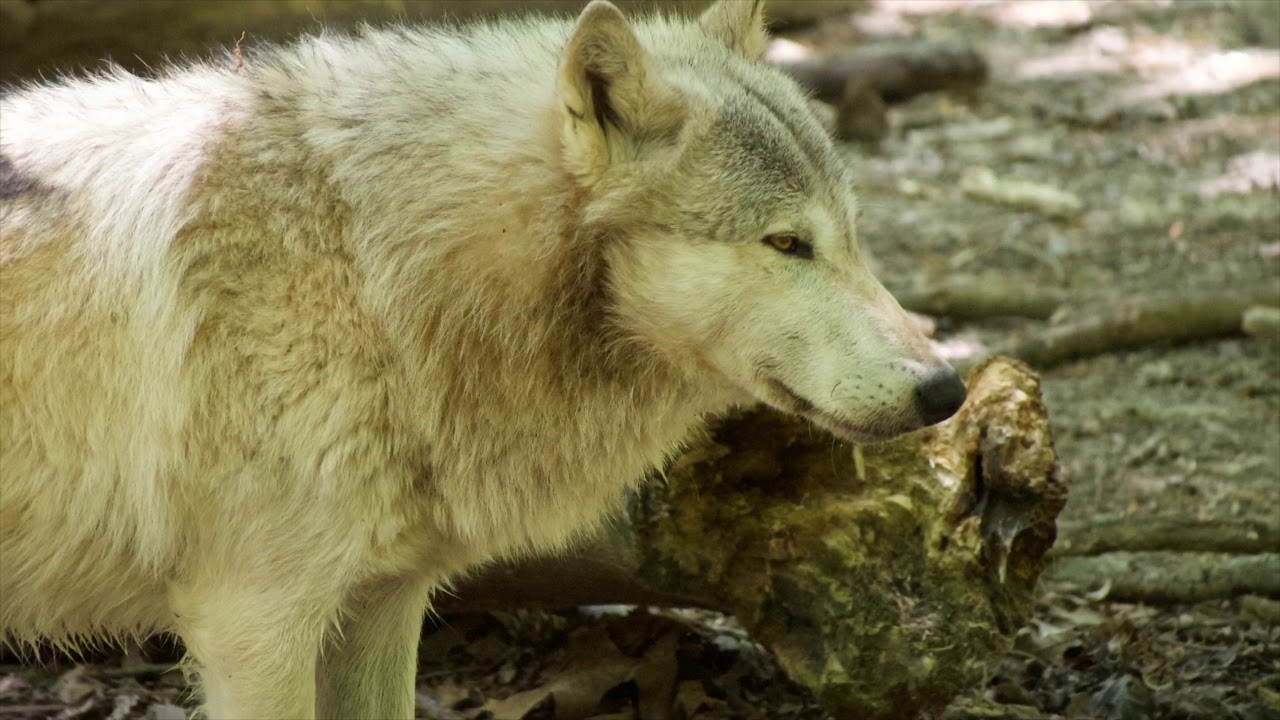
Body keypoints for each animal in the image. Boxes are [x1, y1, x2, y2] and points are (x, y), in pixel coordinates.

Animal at [0, 0, 966, 717]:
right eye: (786, 243)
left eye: (853, 236)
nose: (946, 388)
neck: (371, 268)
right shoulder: (252, 625)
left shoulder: (378, 605)